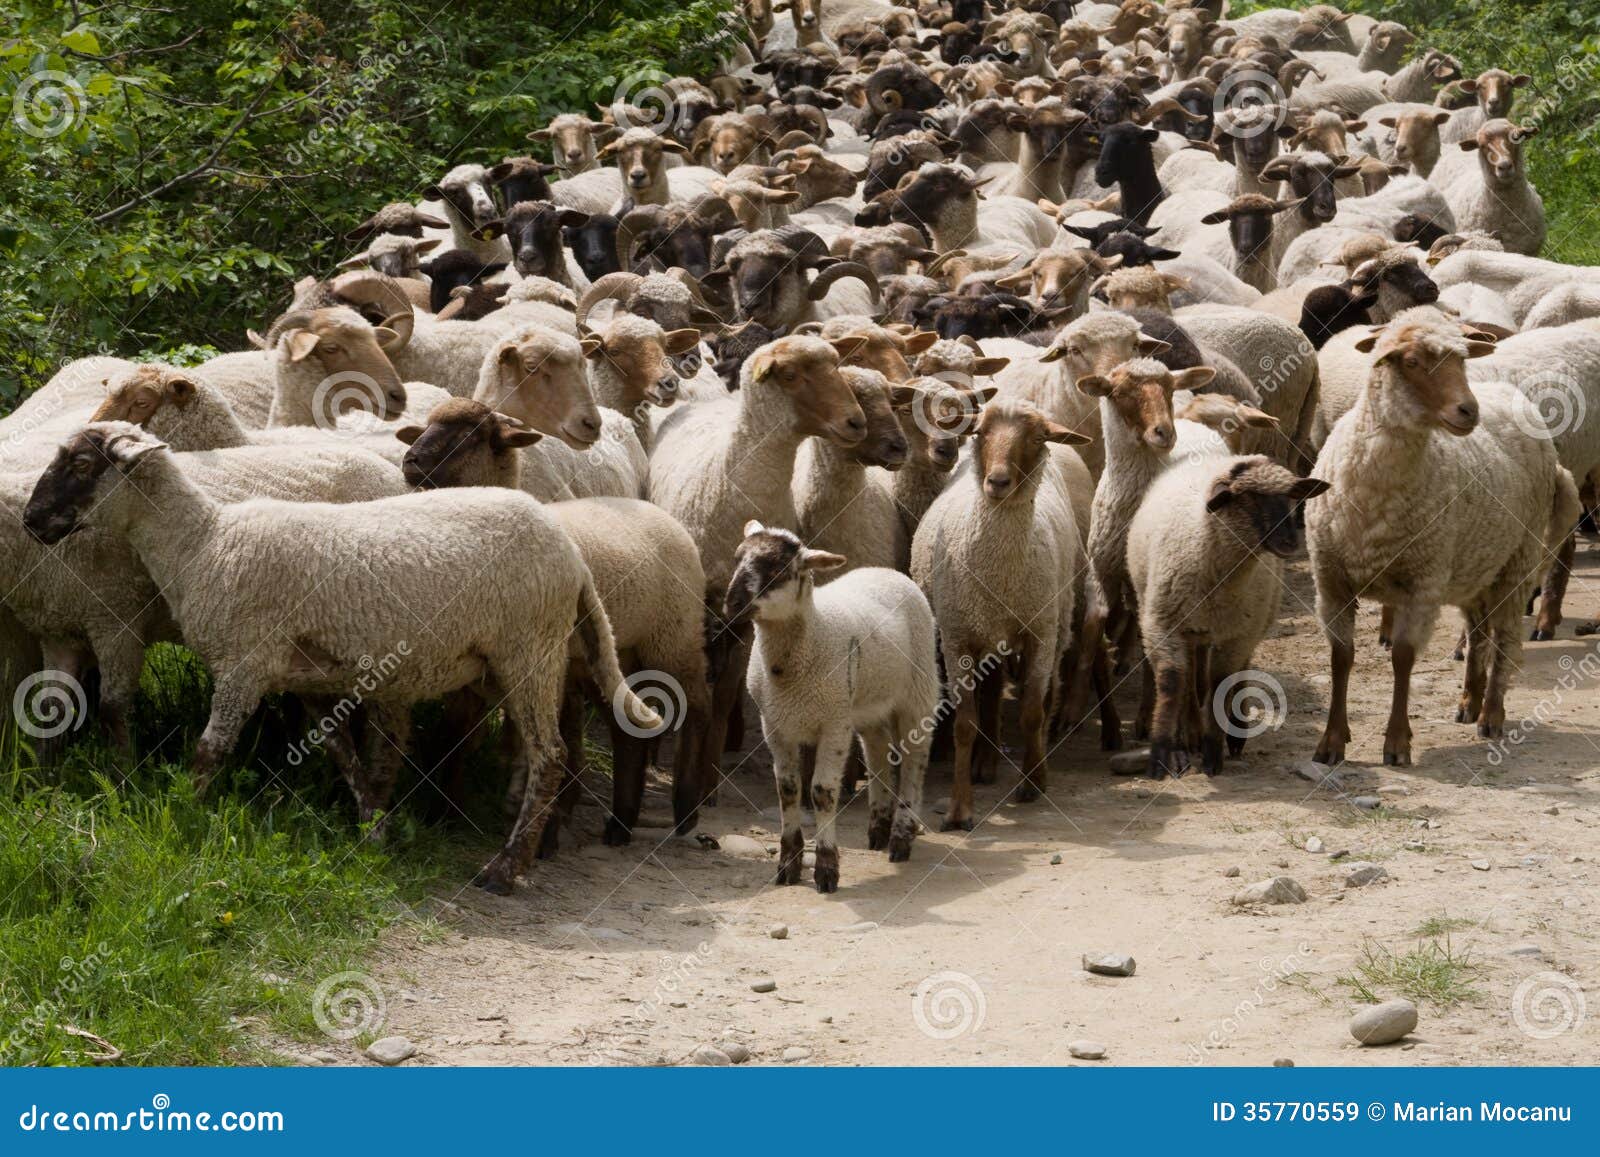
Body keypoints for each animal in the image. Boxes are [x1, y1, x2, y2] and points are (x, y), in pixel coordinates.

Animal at [23, 422, 659, 892]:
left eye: (81, 466)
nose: (31, 521)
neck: (203, 543)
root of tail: (571, 553)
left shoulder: (244, 664)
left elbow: (209, 752)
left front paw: (179, 816)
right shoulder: (303, 677)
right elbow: (342, 752)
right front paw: (374, 830)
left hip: (529, 646)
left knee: (549, 754)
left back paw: (504, 870)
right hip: (515, 658)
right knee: (540, 749)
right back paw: (525, 847)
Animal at [728, 521, 939, 889]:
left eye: (779, 569)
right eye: (737, 559)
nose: (732, 603)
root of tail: (886, 571)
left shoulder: (834, 721)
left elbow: (822, 792)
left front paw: (827, 868)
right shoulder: (775, 724)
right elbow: (788, 789)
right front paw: (788, 864)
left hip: (918, 690)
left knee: (915, 759)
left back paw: (901, 836)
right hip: (869, 703)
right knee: (878, 751)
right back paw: (879, 828)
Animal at [911, 399, 1090, 828]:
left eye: (1037, 438)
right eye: (981, 433)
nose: (997, 482)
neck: (1000, 575)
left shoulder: (1040, 631)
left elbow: (1031, 711)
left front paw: (1032, 781)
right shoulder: (958, 637)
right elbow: (964, 724)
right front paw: (959, 808)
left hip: (1055, 623)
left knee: (1042, 698)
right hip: (986, 634)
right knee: (991, 695)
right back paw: (985, 763)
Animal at [1127, 455, 1328, 776]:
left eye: (1290, 497)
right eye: (1248, 497)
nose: (1289, 542)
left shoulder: (1237, 634)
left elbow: (1221, 682)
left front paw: (1212, 753)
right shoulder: (1162, 624)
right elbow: (1172, 682)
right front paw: (1163, 753)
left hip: (1250, 623)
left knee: (1239, 671)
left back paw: (1234, 733)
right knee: (1190, 676)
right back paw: (1190, 733)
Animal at [1305, 313, 1575, 766]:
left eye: (1463, 360)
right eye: (1411, 361)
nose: (1469, 410)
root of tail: (1511, 395)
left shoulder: (1422, 583)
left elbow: (1403, 658)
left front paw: (1397, 743)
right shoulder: (1331, 581)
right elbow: (1341, 658)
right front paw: (1331, 741)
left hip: (1517, 561)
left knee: (1504, 637)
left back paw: (1491, 713)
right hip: (1477, 564)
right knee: (1479, 631)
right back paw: (1469, 700)